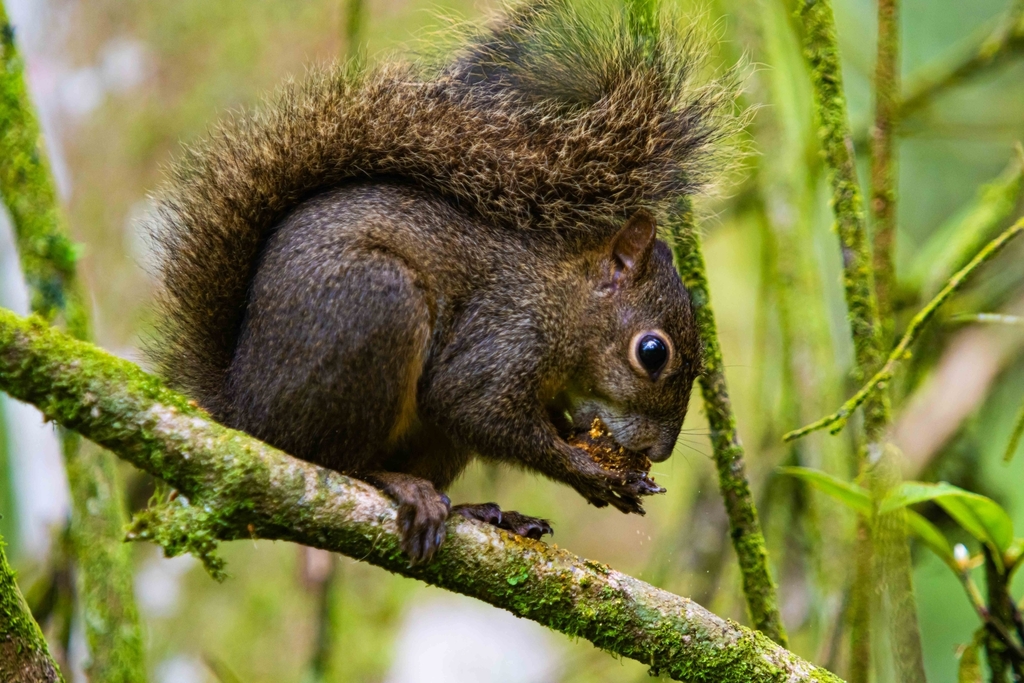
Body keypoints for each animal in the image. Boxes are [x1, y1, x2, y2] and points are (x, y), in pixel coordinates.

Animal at [148, 0, 731, 564]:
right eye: (652, 353)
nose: (658, 452)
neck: (565, 295)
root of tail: (242, 411)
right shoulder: (507, 331)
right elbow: (470, 404)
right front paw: (590, 472)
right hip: (376, 308)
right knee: (330, 458)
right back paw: (398, 483)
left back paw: (482, 512)